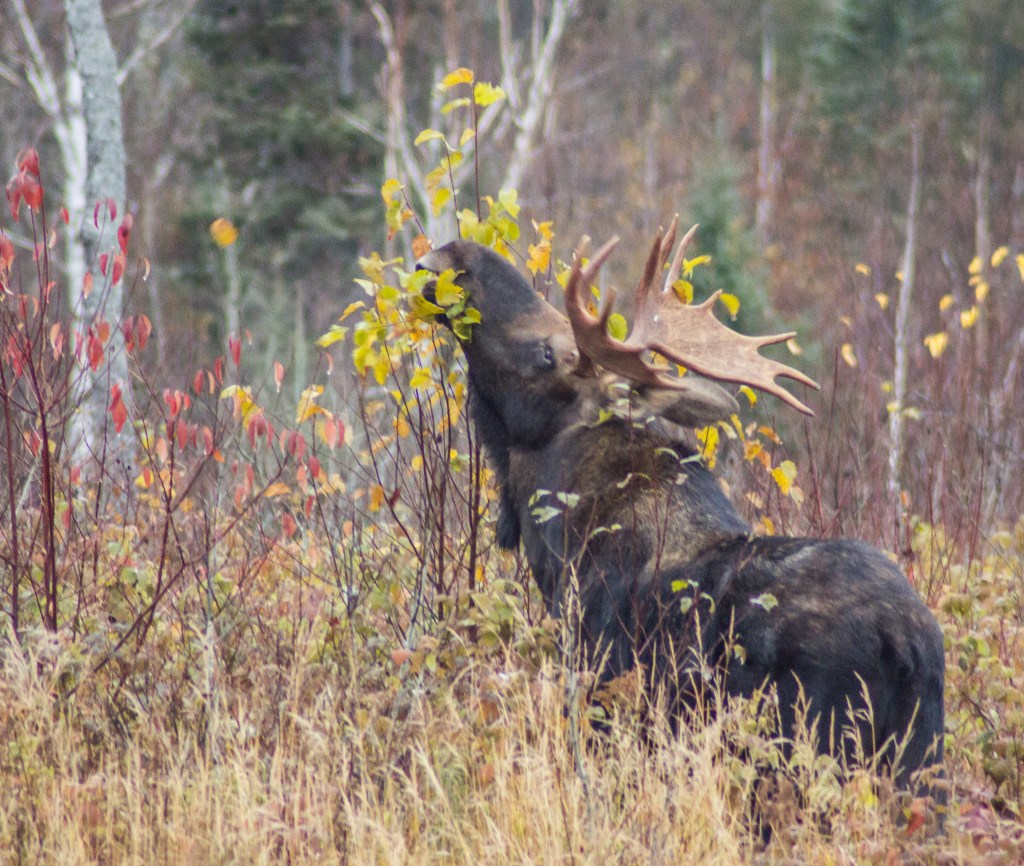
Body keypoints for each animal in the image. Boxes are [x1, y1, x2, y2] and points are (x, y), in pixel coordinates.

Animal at [415, 218, 945, 797]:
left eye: (546, 353)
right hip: (920, 765)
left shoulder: (602, 687)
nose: (453, 253)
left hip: (814, 747)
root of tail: (910, 642)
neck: (557, 546)